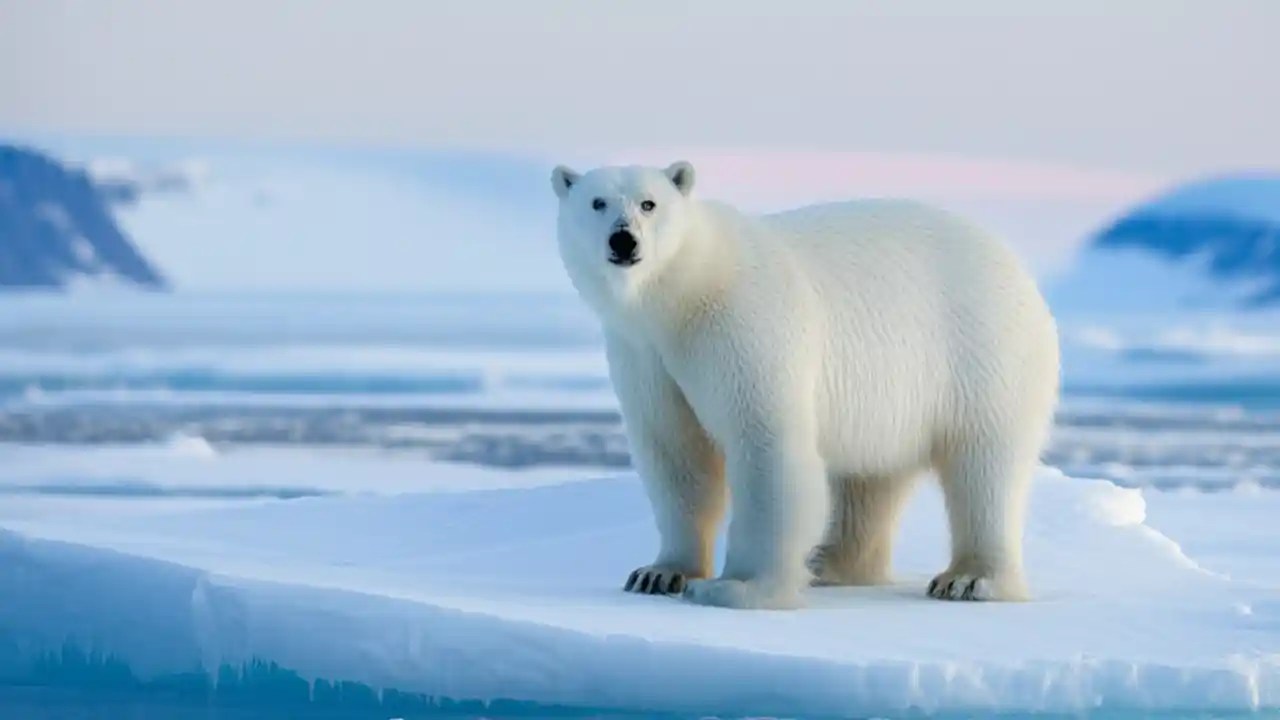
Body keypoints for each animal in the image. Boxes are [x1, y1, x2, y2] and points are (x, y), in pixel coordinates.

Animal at [550, 160, 1060, 610]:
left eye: (649, 203)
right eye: (596, 202)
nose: (623, 239)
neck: (682, 296)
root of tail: (1019, 271)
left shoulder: (739, 324)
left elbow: (764, 442)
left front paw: (739, 587)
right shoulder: (644, 355)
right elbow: (676, 452)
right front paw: (659, 573)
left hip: (981, 352)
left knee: (985, 465)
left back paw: (968, 579)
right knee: (869, 480)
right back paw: (829, 564)